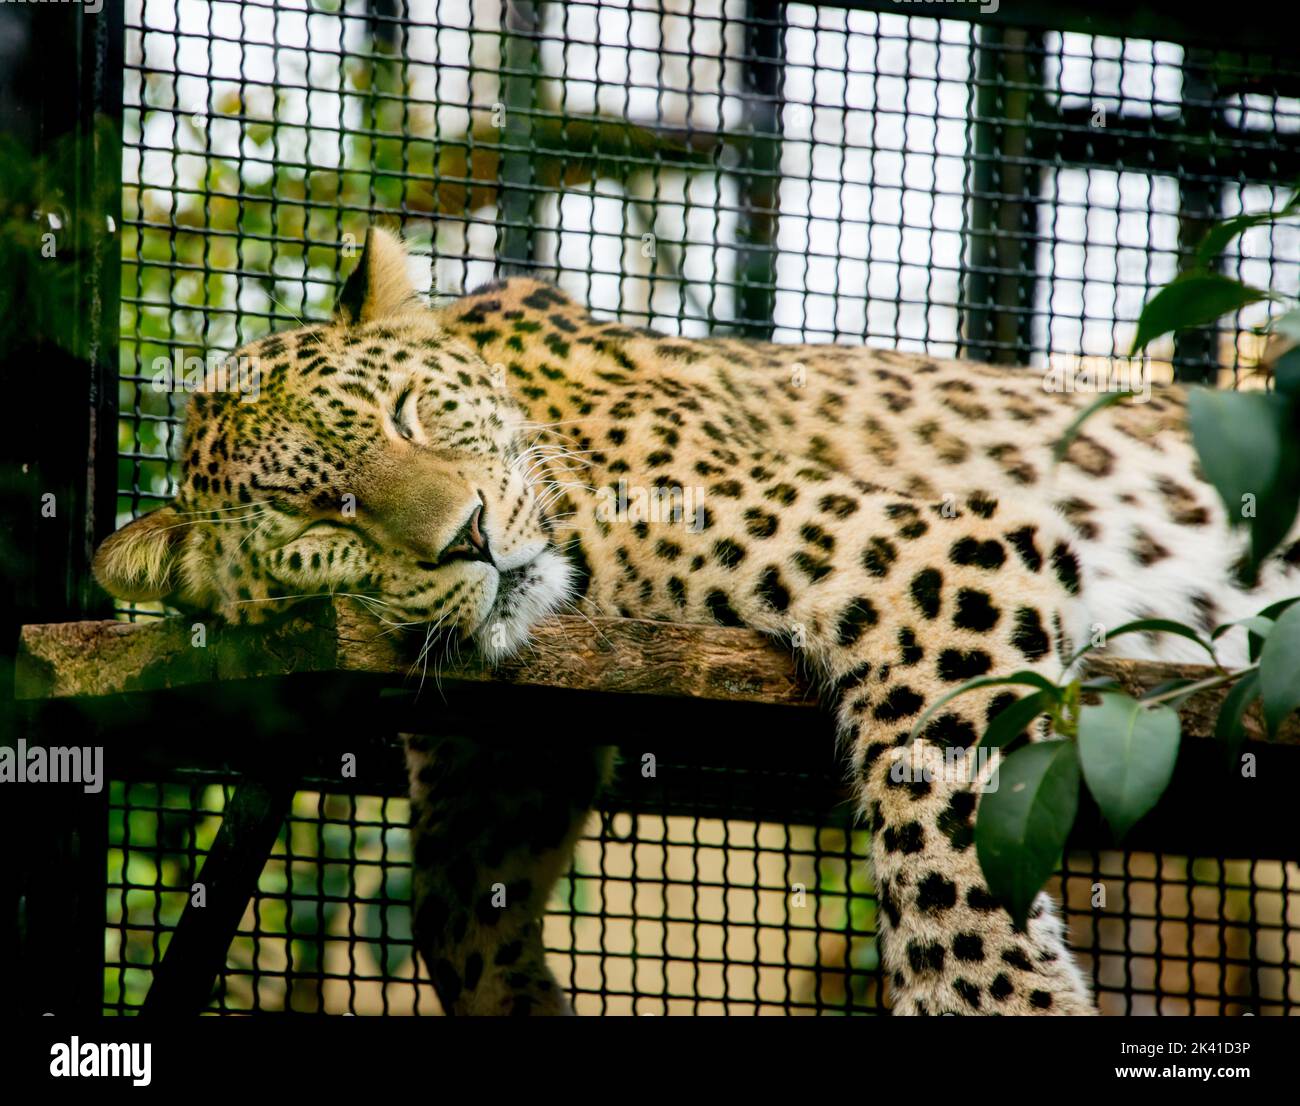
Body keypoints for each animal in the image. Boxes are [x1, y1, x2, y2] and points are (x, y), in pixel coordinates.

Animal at [93, 227, 1300, 1016]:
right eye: (321, 514)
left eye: (408, 413)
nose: (468, 537)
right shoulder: (499, 737)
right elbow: (452, 909)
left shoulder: (935, 552)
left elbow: (945, 840)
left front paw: (1000, 1002)